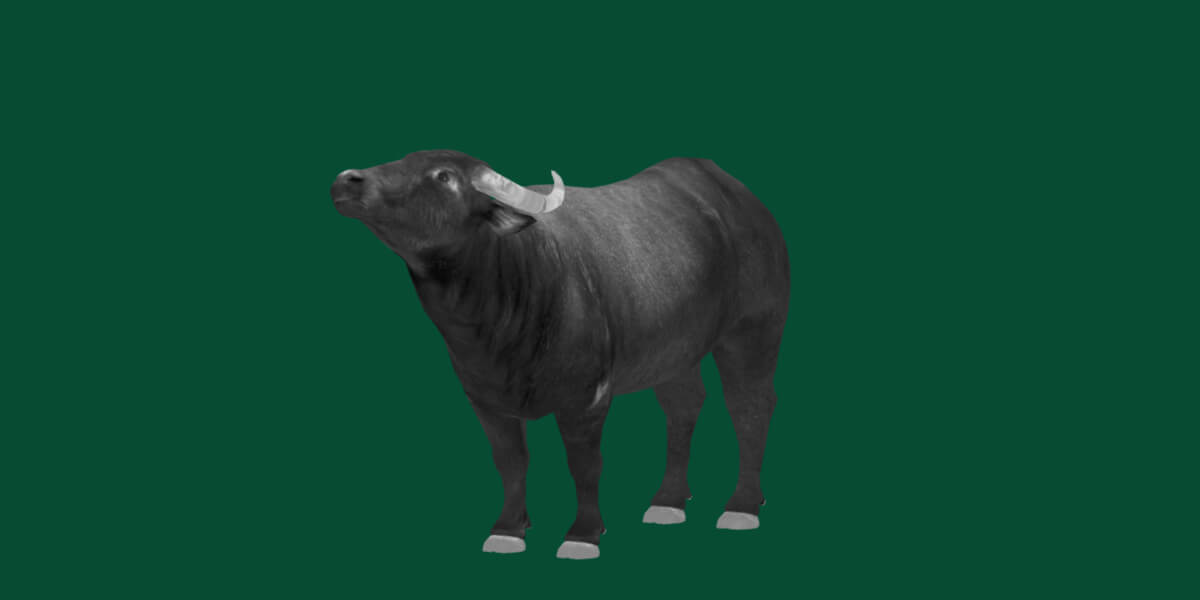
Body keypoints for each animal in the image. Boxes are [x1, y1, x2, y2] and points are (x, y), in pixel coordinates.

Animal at [331, 150, 789, 559]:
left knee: (750, 407)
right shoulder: (485, 402)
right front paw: (507, 530)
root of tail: (742, 200)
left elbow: (584, 465)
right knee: (684, 406)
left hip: (752, 331)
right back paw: (668, 502)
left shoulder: (586, 400)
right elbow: (511, 462)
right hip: (675, 352)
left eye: (444, 176)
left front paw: (583, 535)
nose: (347, 180)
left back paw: (742, 506)